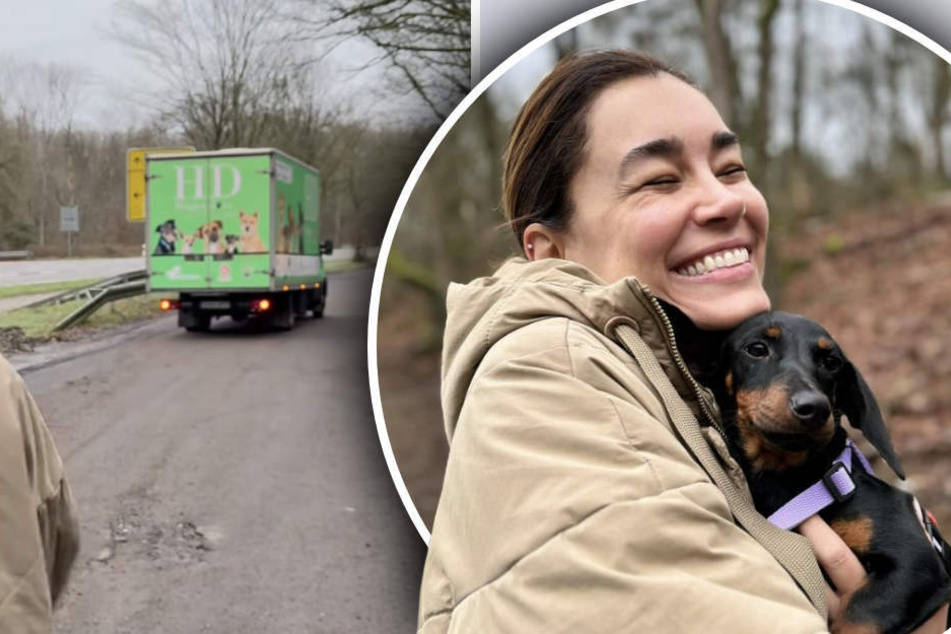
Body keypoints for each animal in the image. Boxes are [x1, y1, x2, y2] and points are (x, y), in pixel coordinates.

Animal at [712, 312, 951, 632]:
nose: (814, 407)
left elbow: (857, 621)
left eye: (832, 362)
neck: (790, 481)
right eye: (757, 349)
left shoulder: (916, 562)